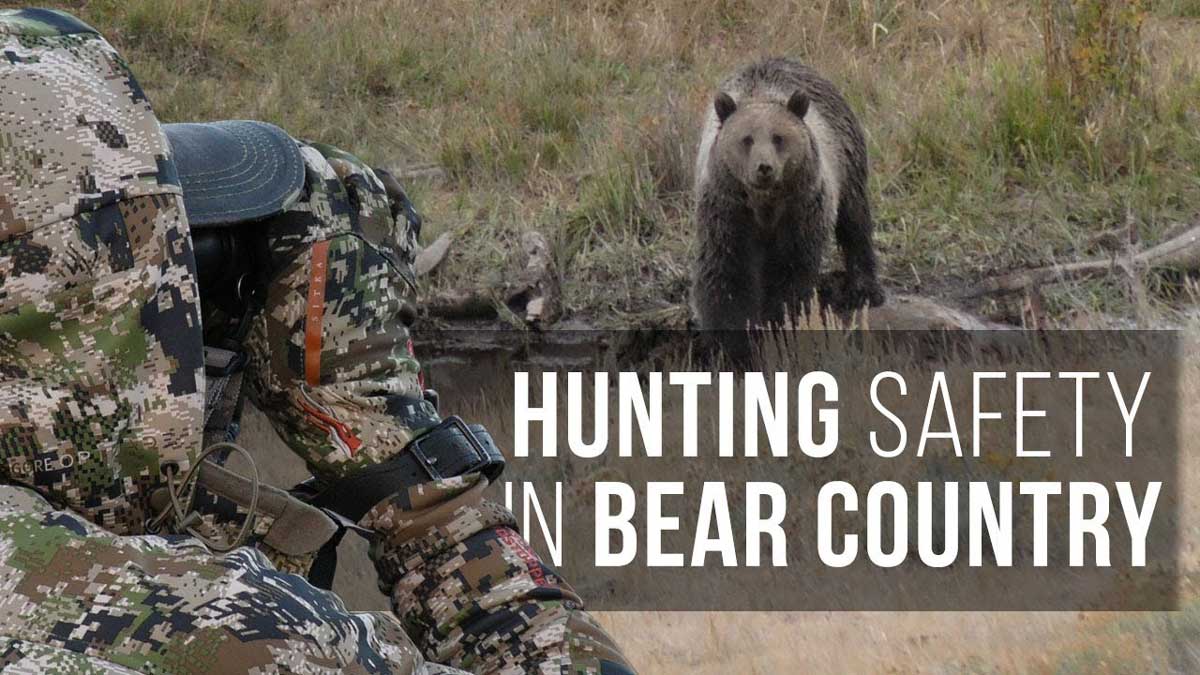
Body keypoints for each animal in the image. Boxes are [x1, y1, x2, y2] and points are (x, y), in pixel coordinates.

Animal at [692, 57, 884, 334]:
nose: (764, 167)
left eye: (778, 137)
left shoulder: (800, 207)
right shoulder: (728, 210)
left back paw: (863, 290)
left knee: (855, 223)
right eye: (746, 139)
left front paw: (781, 315)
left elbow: (791, 269)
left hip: (848, 163)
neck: (764, 203)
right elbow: (726, 273)